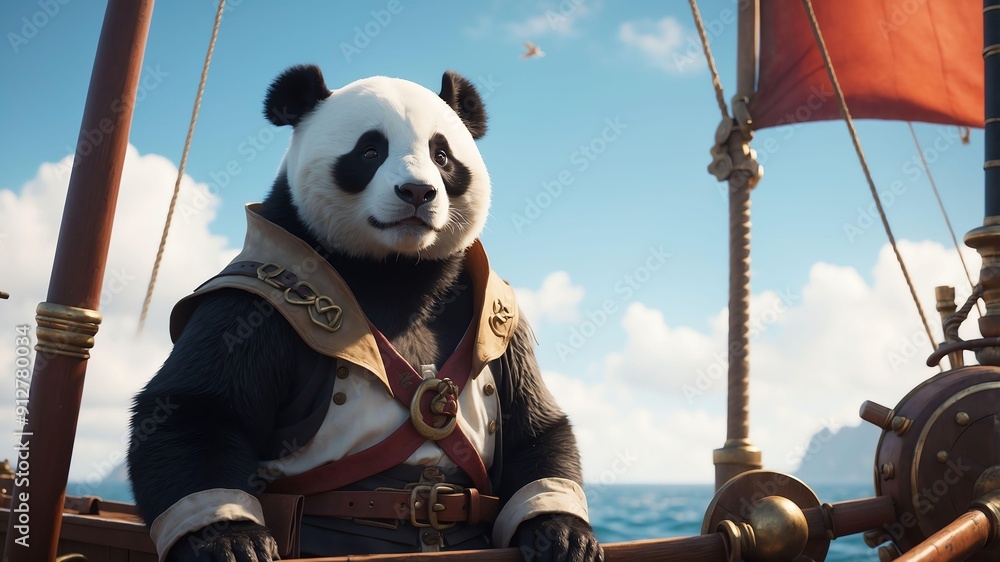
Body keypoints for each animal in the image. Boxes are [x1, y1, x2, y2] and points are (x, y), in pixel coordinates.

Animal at [127, 65, 603, 562]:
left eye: (442, 155)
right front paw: (233, 541)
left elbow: (535, 425)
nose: (417, 191)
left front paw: (562, 534)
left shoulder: (501, 320)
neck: (395, 269)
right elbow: (196, 411)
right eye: (371, 151)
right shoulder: (252, 303)